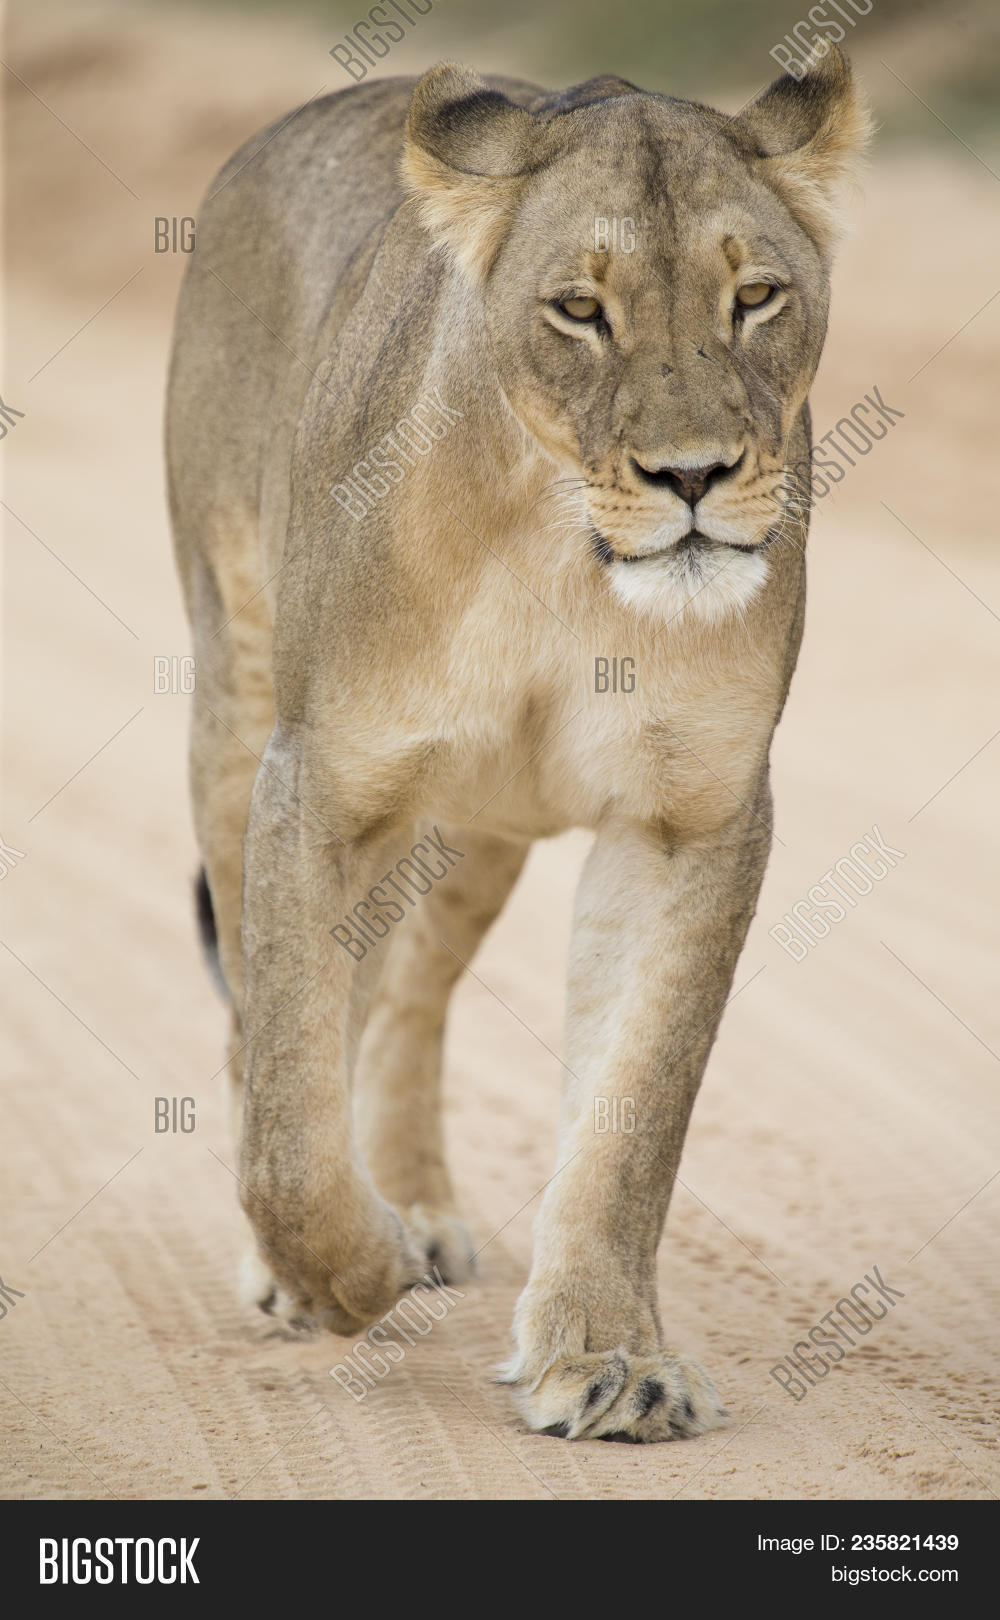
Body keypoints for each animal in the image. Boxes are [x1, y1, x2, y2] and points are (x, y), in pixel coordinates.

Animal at [167, 47, 870, 1442]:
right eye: (579, 311)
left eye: (755, 296)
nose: (692, 477)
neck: (560, 553)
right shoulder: (319, 781)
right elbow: (287, 1106)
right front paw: (342, 1274)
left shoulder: (692, 815)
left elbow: (633, 1109)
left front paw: (607, 1358)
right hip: (236, 698)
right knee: (272, 1028)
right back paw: (319, 1258)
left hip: (477, 825)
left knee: (407, 997)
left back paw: (419, 1204)